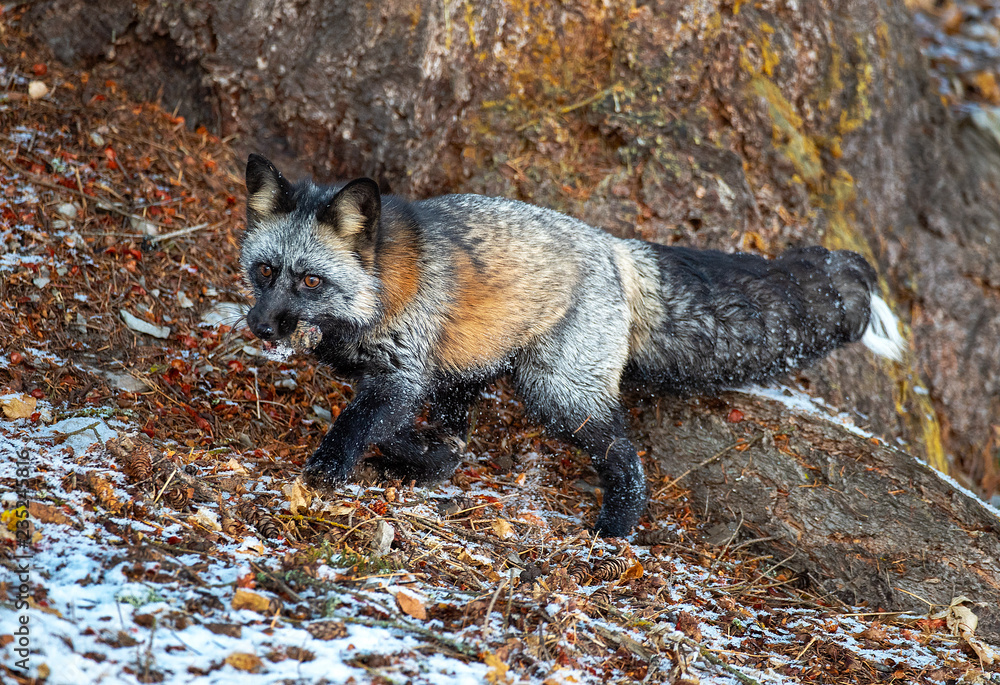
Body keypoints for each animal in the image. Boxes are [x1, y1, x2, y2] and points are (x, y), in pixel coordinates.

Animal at [239, 153, 906, 538]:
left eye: (310, 280)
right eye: (265, 272)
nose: (261, 327)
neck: (373, 294)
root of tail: (615, 247)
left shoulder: (400, 375)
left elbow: (357, 426)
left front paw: (324, 477)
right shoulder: (409, 374)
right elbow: (403, 432)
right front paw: (419, 459)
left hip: (558, 395)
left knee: (625, 457)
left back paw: (618, 527)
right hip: (481, 369)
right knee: (460, 431)